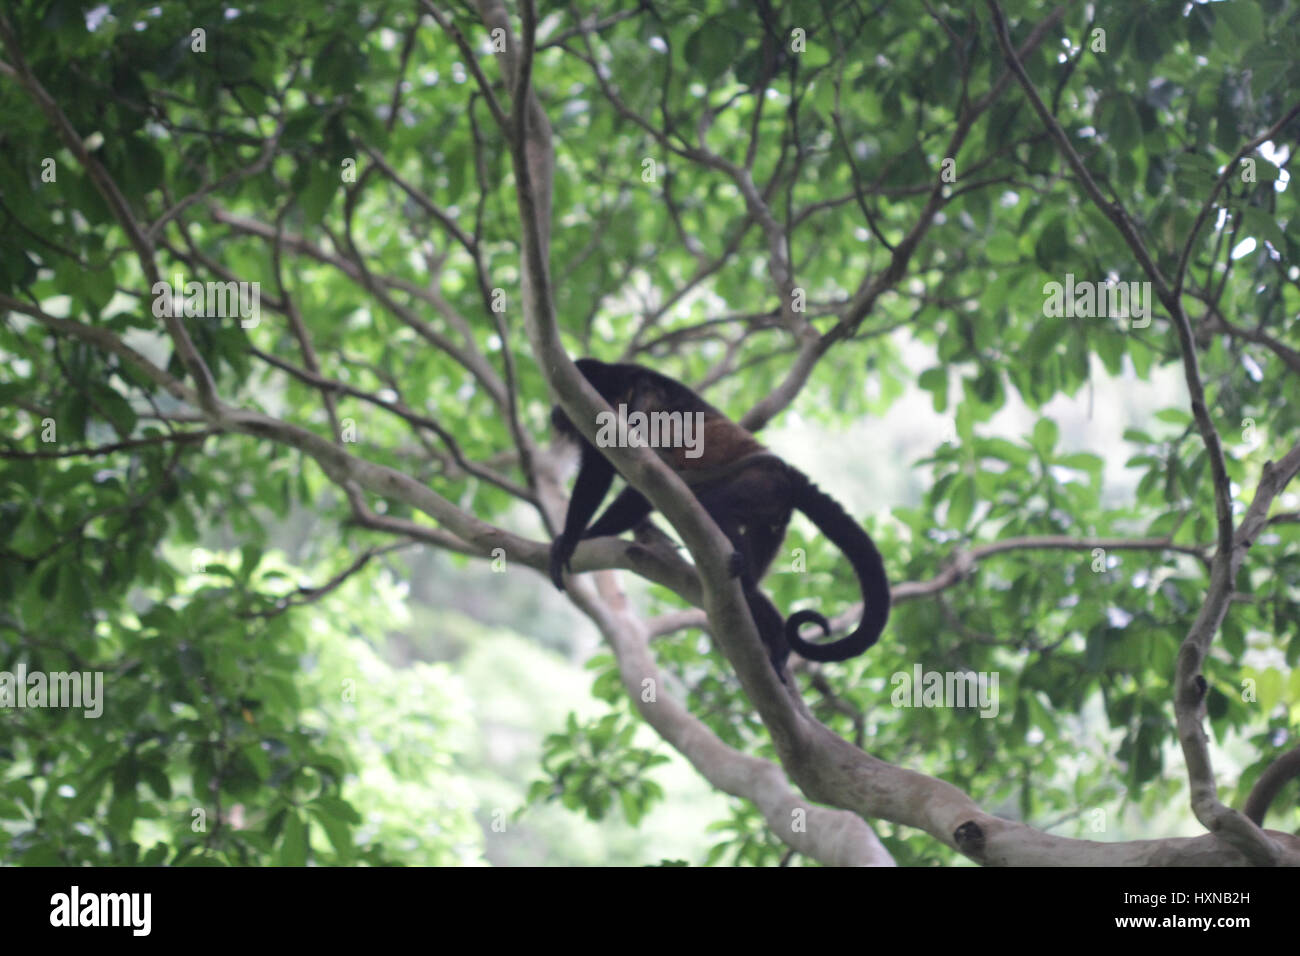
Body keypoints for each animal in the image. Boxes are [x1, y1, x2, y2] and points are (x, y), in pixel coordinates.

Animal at [548, 357, 890, 678]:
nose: (554, 412)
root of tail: (790, 477)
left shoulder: (615, 404)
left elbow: (628, 478)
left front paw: (574, 539)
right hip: (772, 524)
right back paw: (771, 630)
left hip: (762, 484)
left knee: (715, 507)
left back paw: (752, 593)